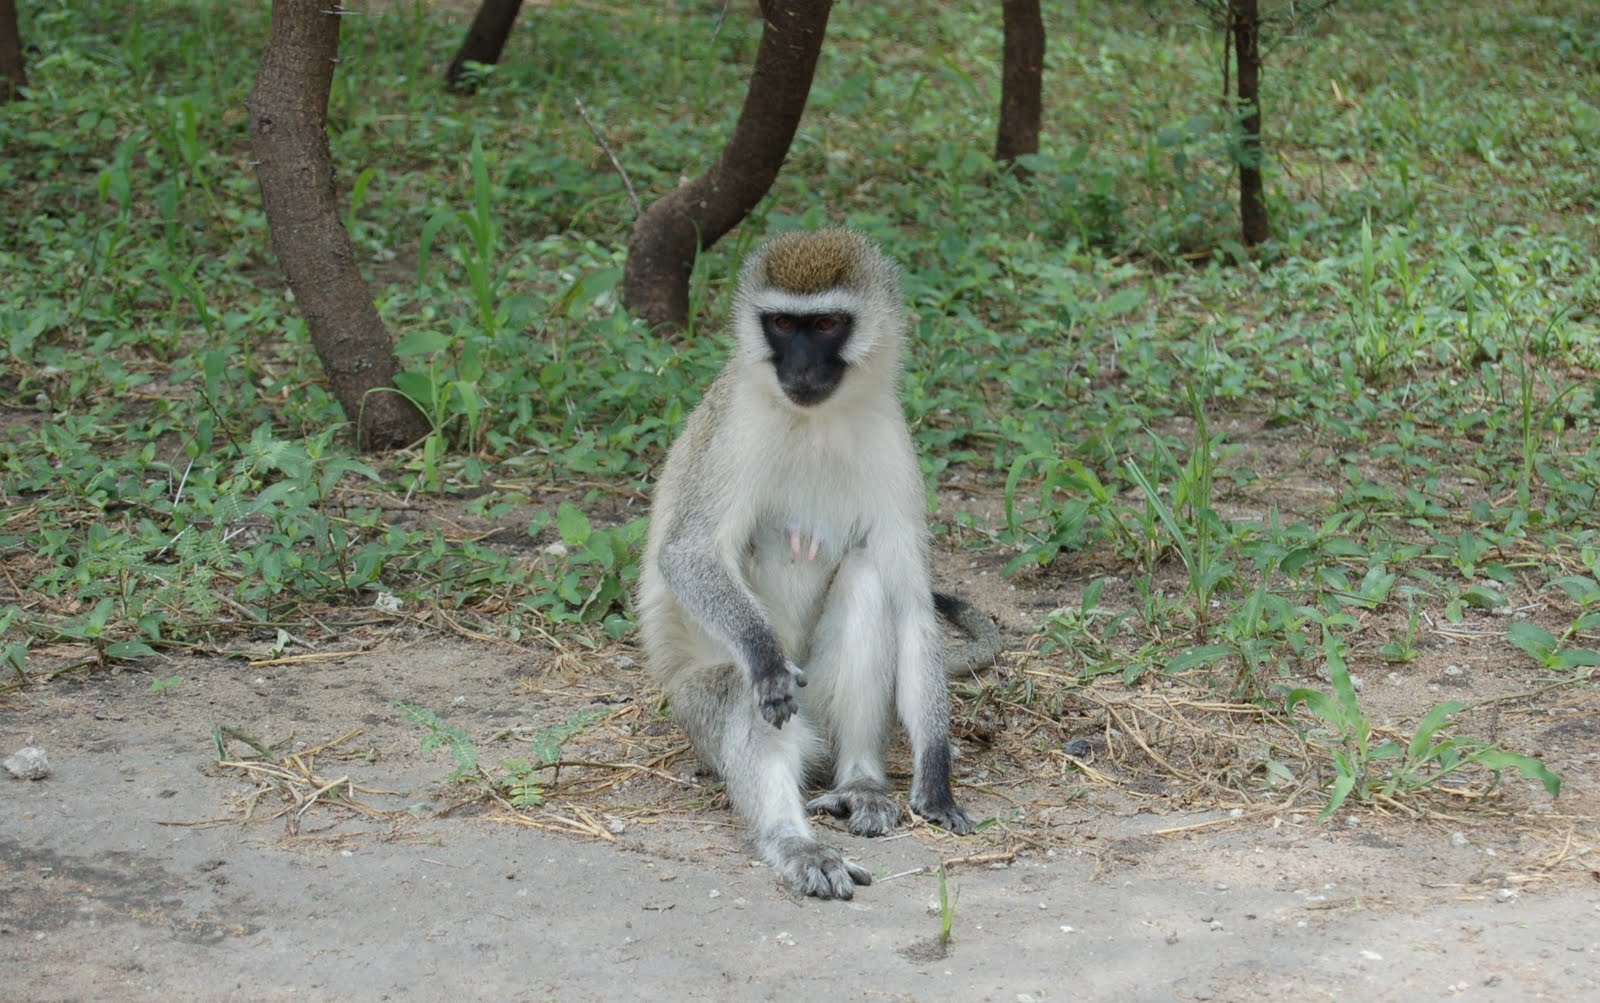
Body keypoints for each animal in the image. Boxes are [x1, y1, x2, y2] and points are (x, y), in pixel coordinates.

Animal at [638, 227, 993, 900]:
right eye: (781, 323)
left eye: (826, 324)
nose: (800, 368)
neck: (816, 420)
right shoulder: (737, 429)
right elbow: (688, 552)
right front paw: (765, 658)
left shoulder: (892, 439)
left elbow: (912, 606)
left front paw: (935, 781)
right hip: (696, 710)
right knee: (740, 697)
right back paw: (795, 843)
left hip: (823, 710)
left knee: (867, 576)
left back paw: (861, 784)